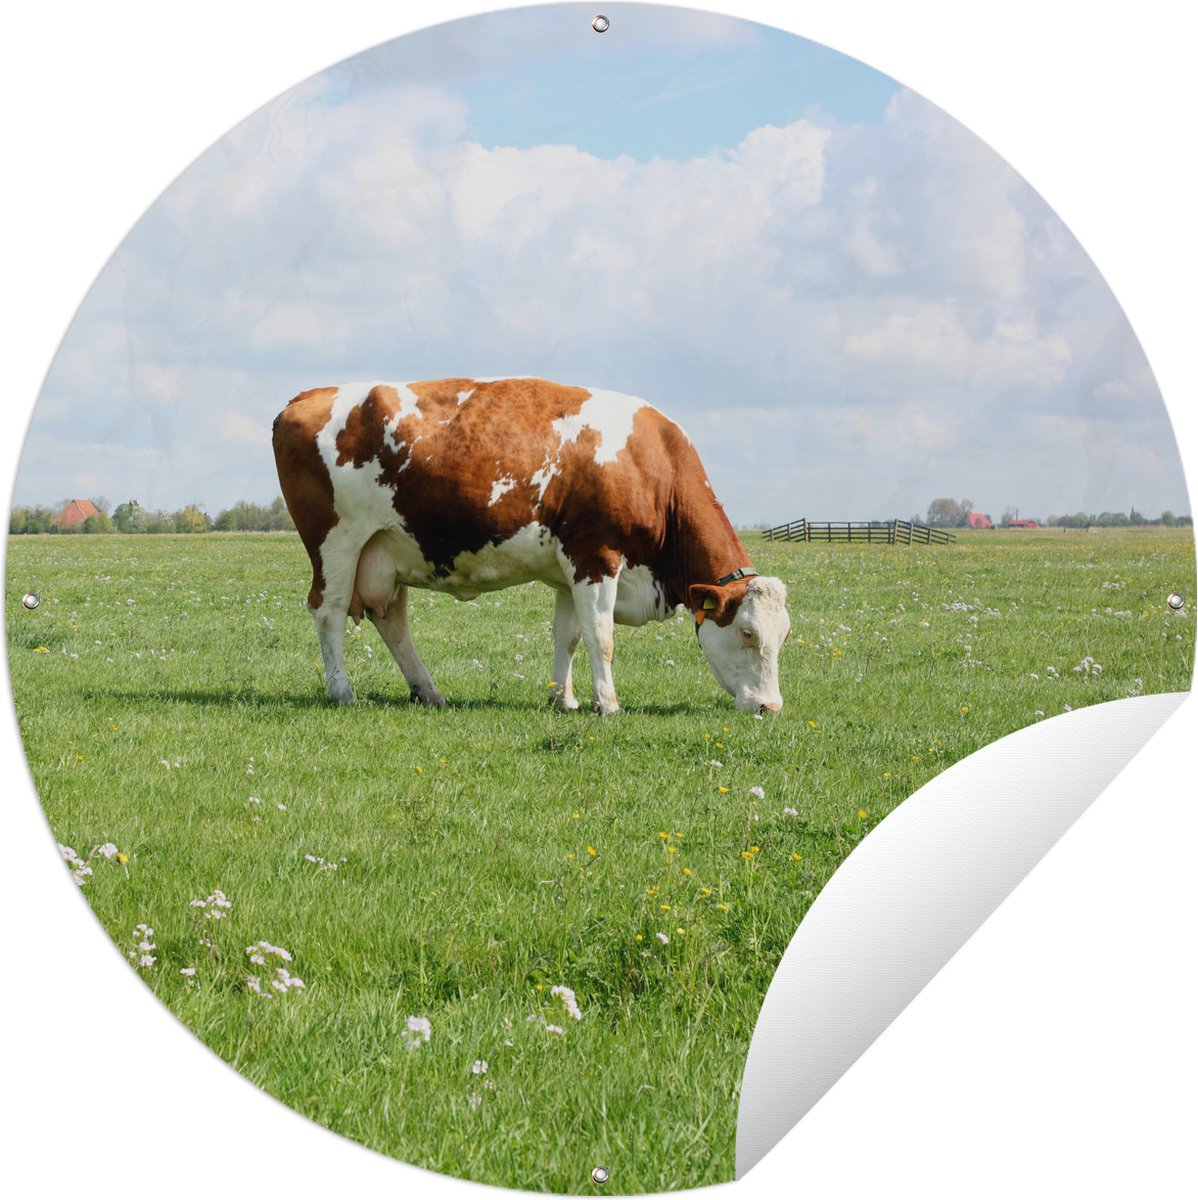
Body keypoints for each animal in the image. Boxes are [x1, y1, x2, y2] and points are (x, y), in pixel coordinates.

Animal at [272, 377, 790, 715]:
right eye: (747, 633)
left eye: (783, 635)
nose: (771, 707)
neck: (650, 465)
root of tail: (304, 398)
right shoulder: (596, 557)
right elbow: (601, 636)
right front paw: (608, 704)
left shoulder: (570, 571)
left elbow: (569, 635)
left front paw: (564, 698)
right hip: (337, 544)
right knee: (329, 611)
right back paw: (343, 692)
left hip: (387, 550)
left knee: (393, 622)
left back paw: (428, 691)